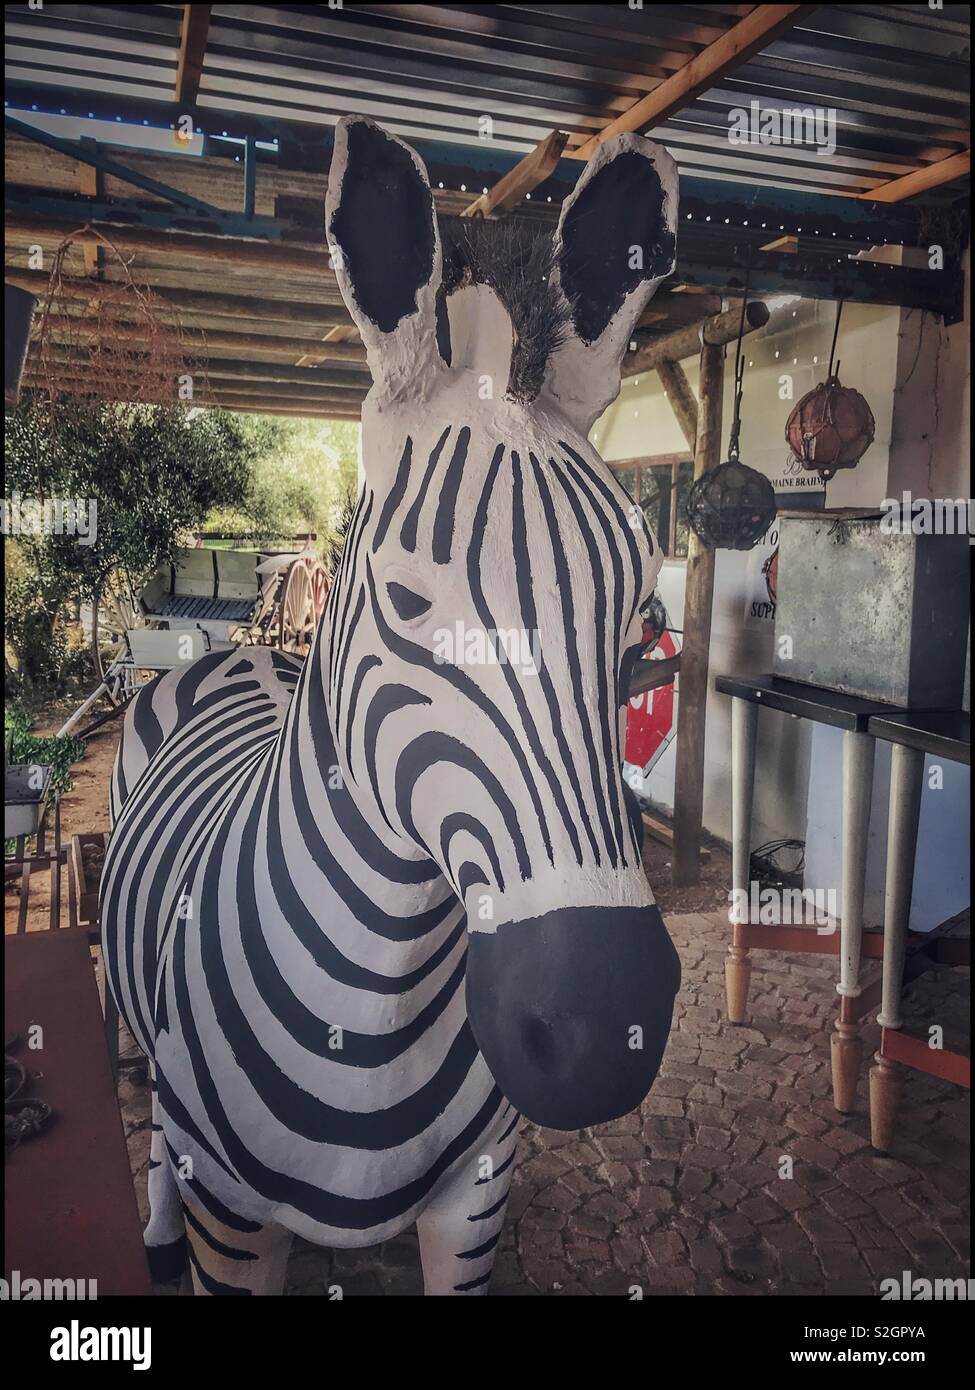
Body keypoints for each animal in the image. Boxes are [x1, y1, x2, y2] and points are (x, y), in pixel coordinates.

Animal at [100, 115, 682, 1297]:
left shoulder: (476, 1198)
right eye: (410, 600)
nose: (608, 1034)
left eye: (639, 610)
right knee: (155, 1118)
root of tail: (239, 657)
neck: (376, 1007)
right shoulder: (234, 1222)